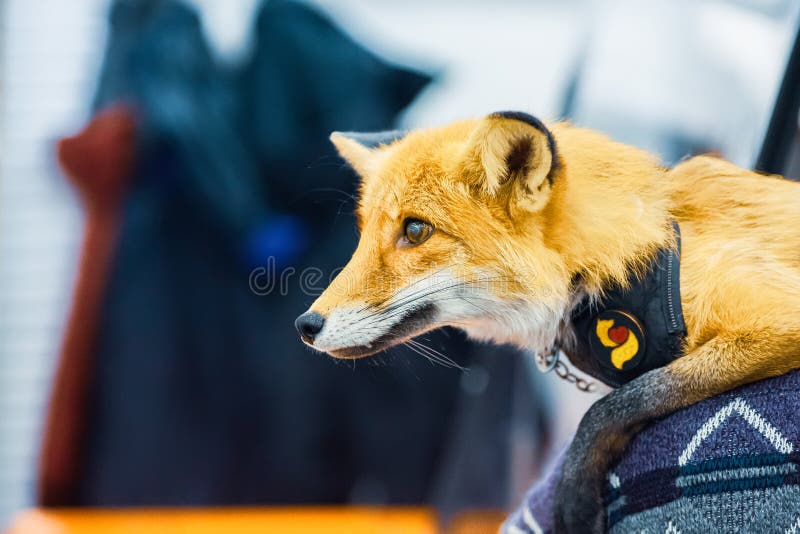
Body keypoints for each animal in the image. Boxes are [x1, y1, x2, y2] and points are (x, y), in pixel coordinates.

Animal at [294, 111, 800, 533]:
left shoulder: (778, 318)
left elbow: (617, 404)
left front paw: (574, 500)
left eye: (416, 230)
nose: (306, 325)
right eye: (363, 234)